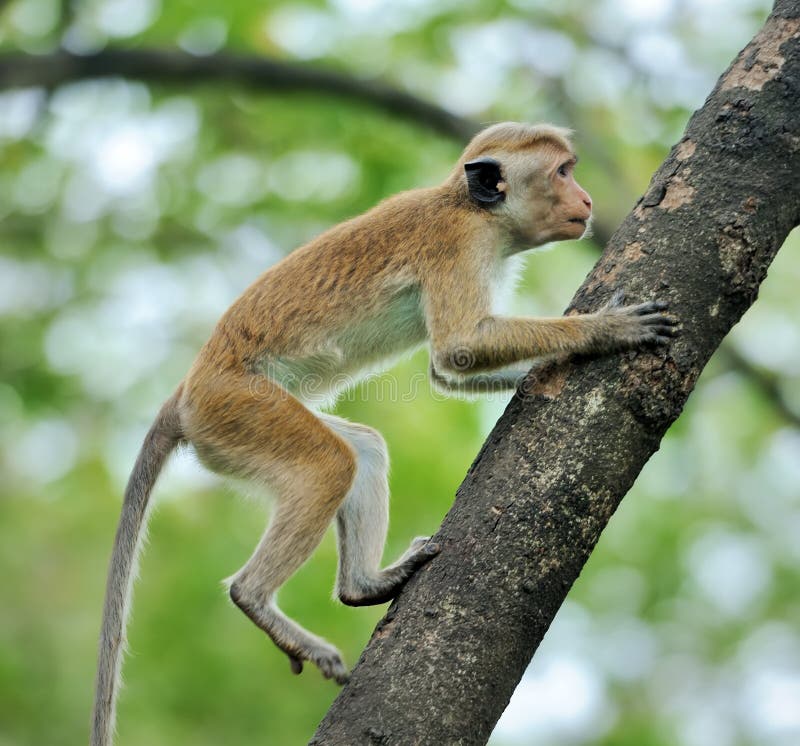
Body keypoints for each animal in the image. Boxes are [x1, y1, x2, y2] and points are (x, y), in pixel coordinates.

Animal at [91, 122, 676, 745]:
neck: (472, 209)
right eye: (562, 173)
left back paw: (364, 585)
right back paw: (258, 598)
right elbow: (459, 347)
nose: (585, 200)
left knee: (363, 451)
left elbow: (446, 369)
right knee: (329, 464)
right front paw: (605, 330)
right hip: (239, 410)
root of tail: (187, 391)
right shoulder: (459, 245)